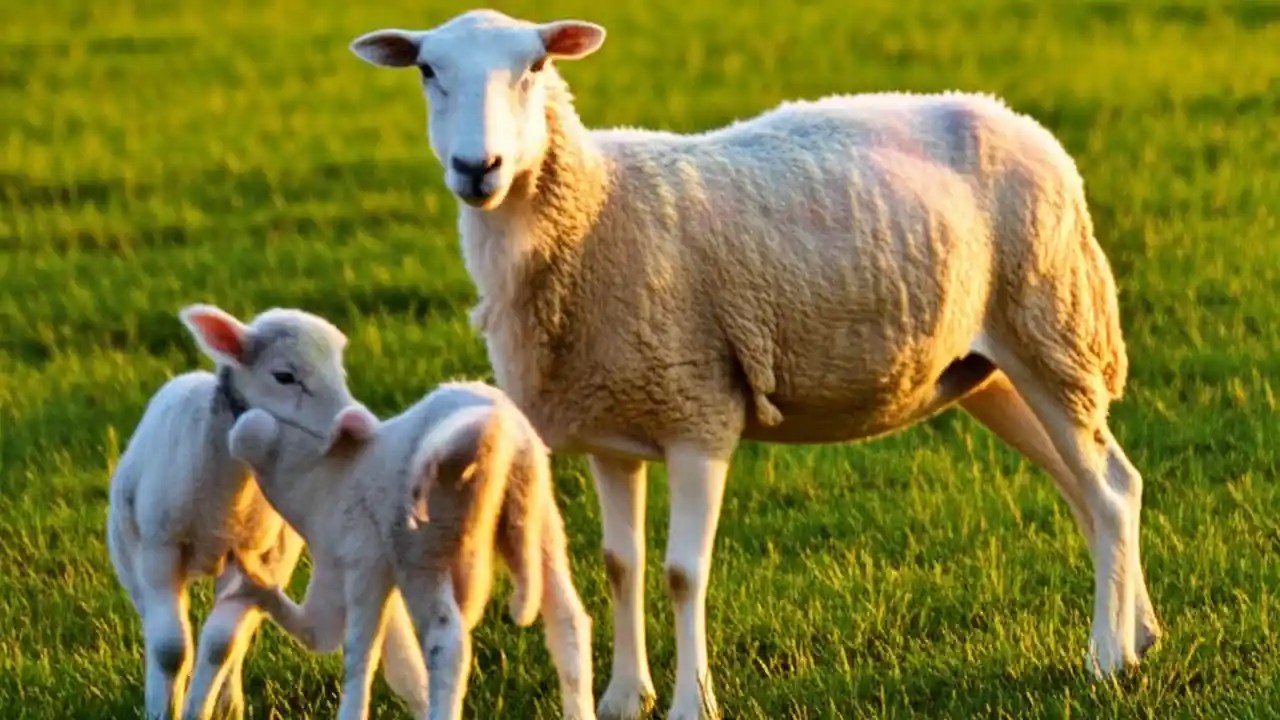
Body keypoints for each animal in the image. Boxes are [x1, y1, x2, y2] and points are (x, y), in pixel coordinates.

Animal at [107, 303, 428, 720]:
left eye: (339, 371)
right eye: (285, 376)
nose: (360, 423)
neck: (223, 500)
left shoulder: (250, 557)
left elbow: (220, 645)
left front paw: (198, 709)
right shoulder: (161, 548)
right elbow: (170, 649)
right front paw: (165, 711)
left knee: (238, 636)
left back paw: (229, 704)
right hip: (131, 555)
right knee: (153, 622)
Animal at [211, 373, 596, 720]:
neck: (314, 479)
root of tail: (496, 433)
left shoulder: (360, 559)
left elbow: (349, 648)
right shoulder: (348, 565)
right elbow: (338, 636)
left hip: (422, 549)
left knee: (447, 642)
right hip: (540, 517)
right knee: (568, 619)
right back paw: (579, 711)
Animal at [348, 9, 1161, 720]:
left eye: (537, 66)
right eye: (427, 70)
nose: (475, 167)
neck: (596, 213)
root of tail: (1026, 126)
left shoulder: (697, 410)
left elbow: (683, 573)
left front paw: (690, 704)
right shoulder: (611, 424)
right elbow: (621, 564)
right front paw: (623, 698)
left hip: (1048, 329)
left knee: (1107, 491)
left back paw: (1106, 658)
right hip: (987, 368)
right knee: (1099, 486)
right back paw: (1141, 634)